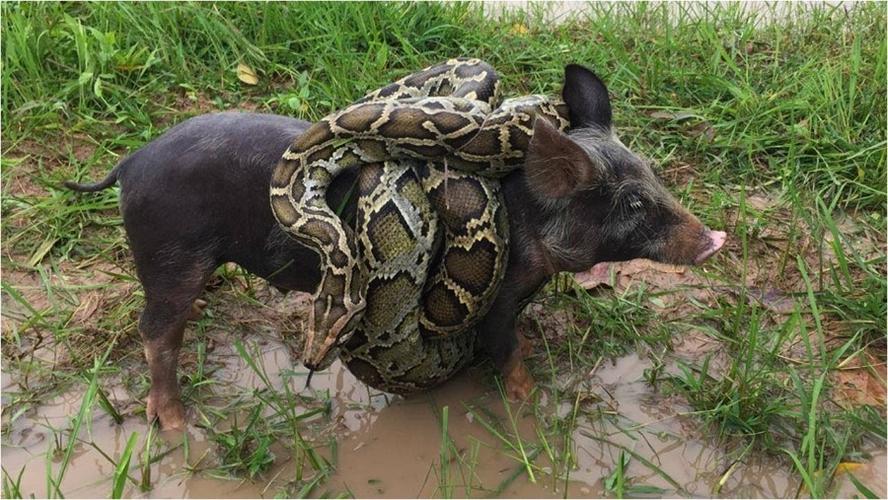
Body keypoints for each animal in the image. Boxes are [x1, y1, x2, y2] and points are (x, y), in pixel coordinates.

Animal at [65, 65, 726, 430]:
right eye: (633, 206)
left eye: (654, 185)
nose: (711, 241)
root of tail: (129, 161)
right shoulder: (496, 303)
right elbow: (509, 357)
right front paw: (529, 409)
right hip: (170, 257)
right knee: (156, 333)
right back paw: (175, 425)